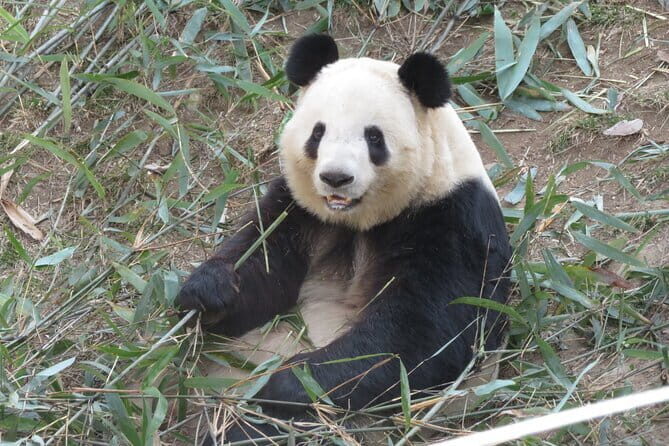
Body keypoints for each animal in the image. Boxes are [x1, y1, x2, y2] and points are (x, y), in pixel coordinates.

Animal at [176, 34, 511, 444]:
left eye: (374, 137)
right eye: (318, 132)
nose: (336, 177)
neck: (356, 220)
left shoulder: (453, 220)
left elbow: (421, 336)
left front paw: (289, 384)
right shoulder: (300, 210)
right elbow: (266, 265)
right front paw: (209, 290)